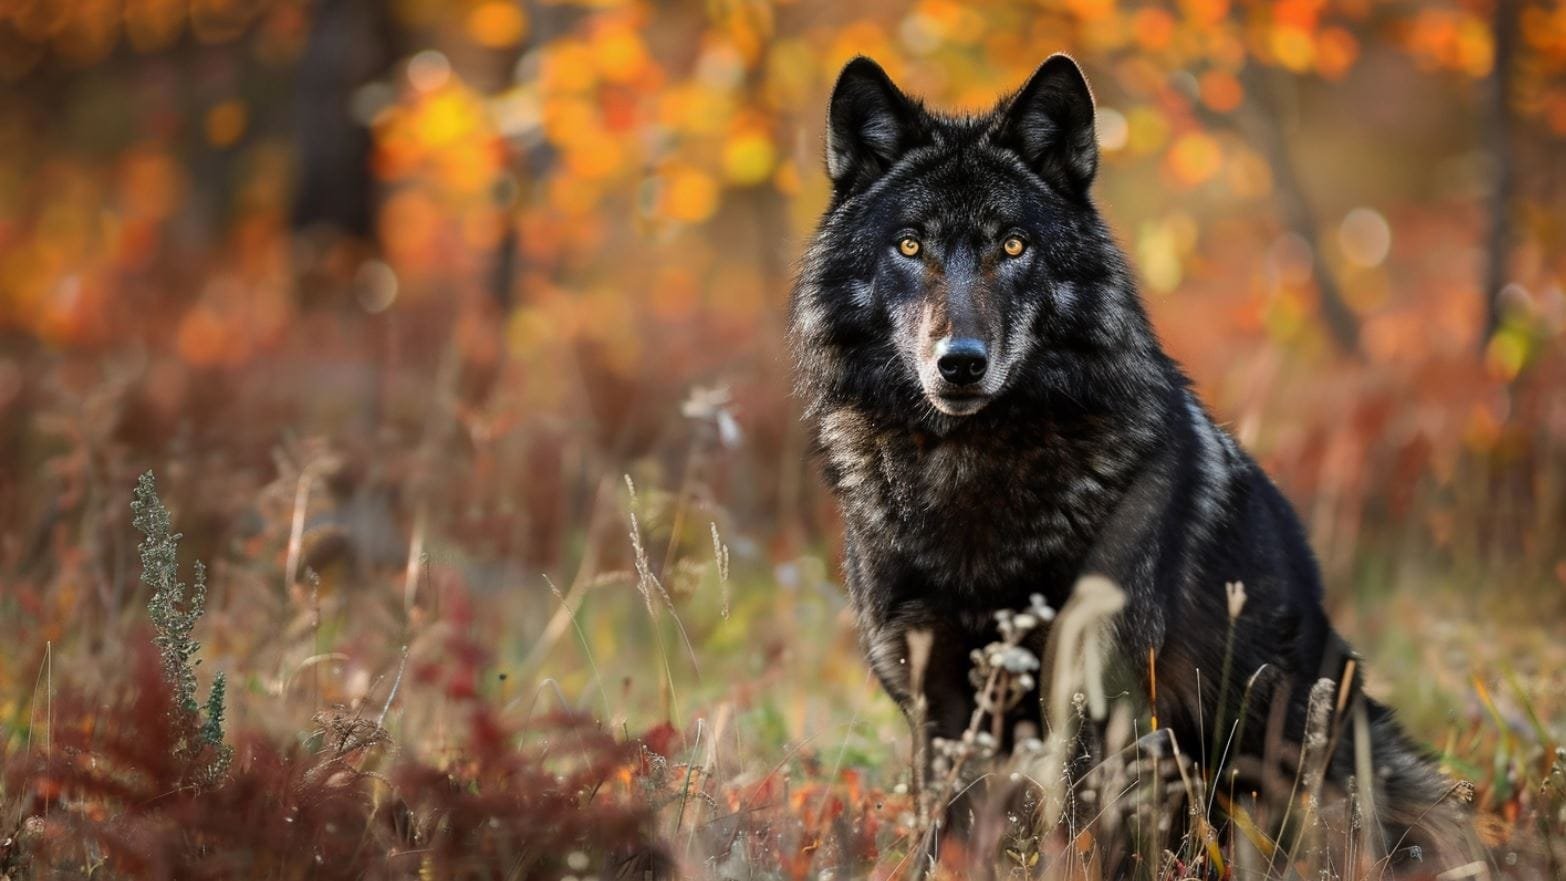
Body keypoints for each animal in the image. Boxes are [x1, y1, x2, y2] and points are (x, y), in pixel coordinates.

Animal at [789, 55, 1467, 869]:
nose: (961, 363)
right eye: (910, 246)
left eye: (1013, 246)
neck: (970, 474)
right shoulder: (939, 706)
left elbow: (1082, 839)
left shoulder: (1096, 697)